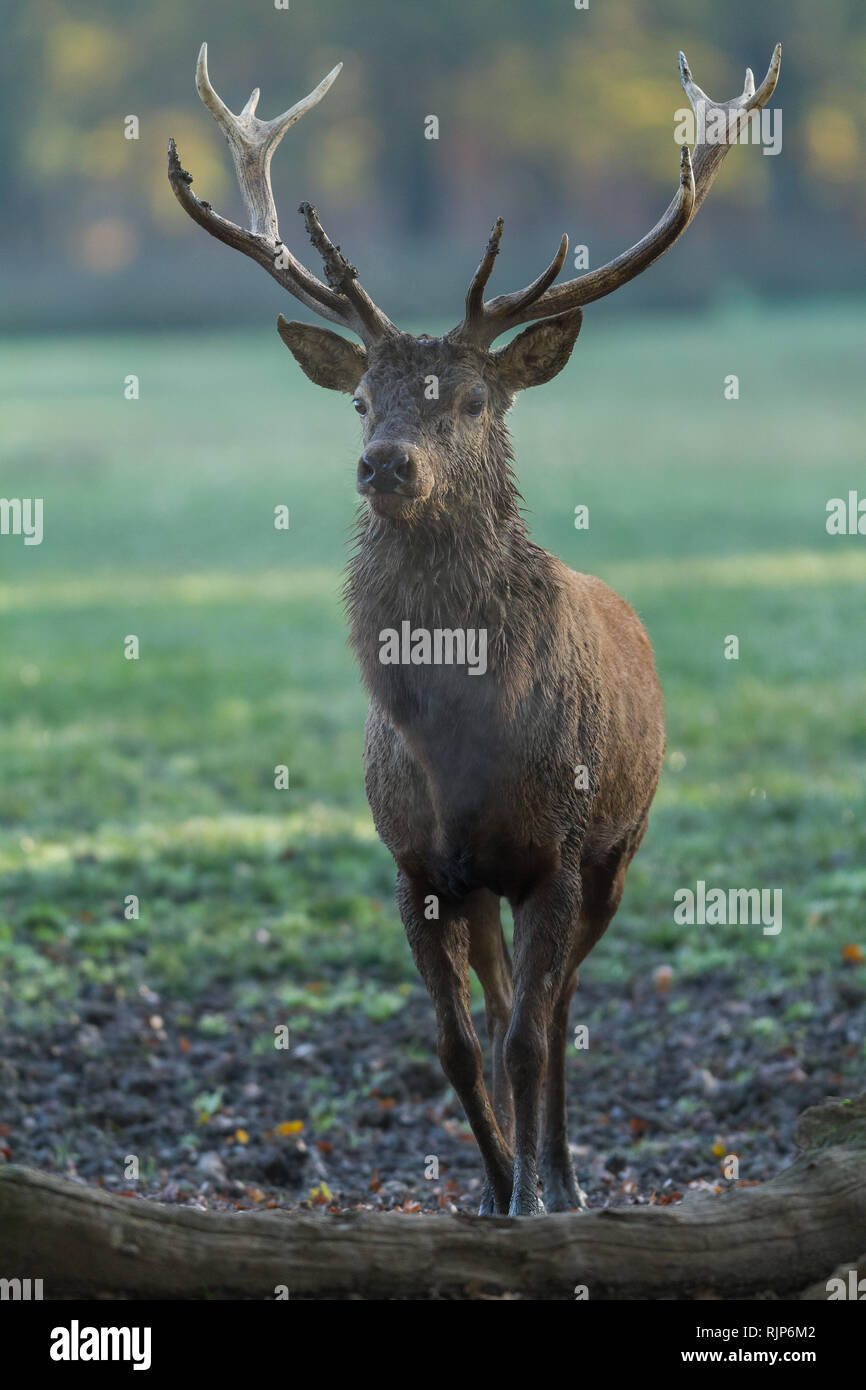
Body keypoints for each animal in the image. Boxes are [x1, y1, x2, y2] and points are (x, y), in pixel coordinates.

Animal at [169, 41, 781, 1215]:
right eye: (361, 400)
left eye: (470, 401)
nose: (384, 465)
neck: (458, 739)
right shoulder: (413, 862)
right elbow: (458, 1045)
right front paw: (492, 1193)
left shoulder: (560, 849)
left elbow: (532, 1038)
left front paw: (535, 1194)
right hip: (488, 886)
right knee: (505, 1010)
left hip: (622, 845)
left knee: (560, 1007)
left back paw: (568, 1175)